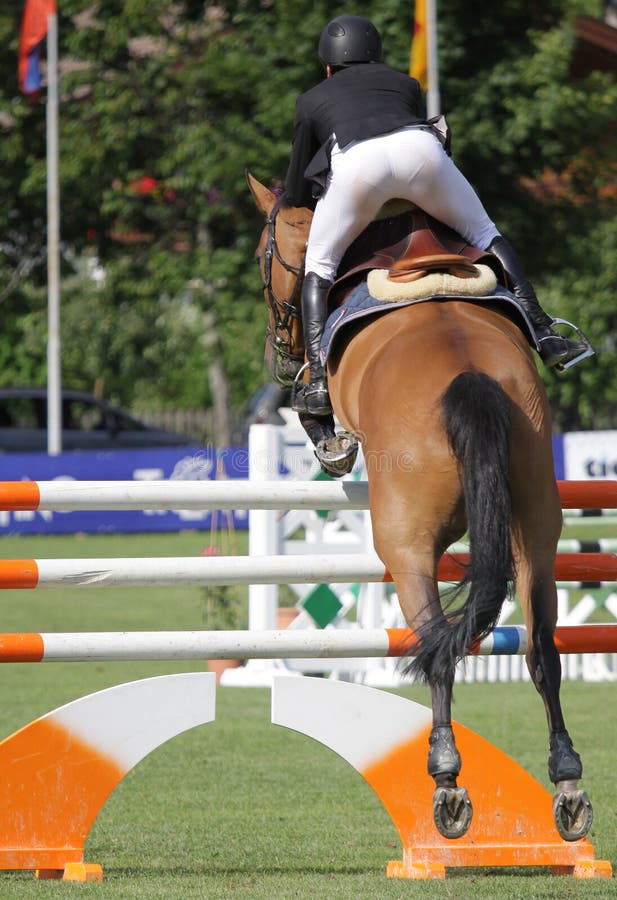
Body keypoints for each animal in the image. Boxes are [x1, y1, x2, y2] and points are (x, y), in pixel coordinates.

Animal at [247, 172, 593, 843]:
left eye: (261, 256)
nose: (279, 352)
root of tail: (469, 378)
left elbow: (316, 416)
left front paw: (323, 433)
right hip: (537, 533)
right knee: (542, 648)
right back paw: (567, 787)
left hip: (405, 548)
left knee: (436, 649)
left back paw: (447, 782)